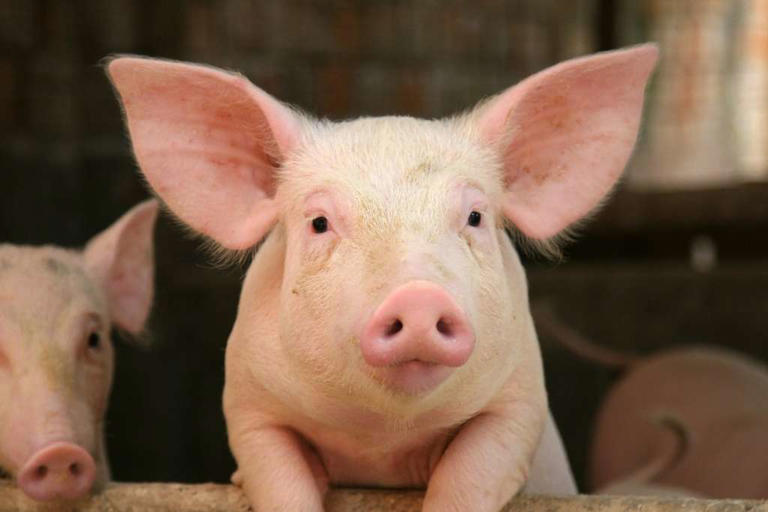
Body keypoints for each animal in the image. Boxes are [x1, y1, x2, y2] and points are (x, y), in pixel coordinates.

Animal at [106, 44, 658, 511]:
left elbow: (470, 475)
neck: (382, 440)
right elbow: (279, 480)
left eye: (475, 216)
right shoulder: (249, 406)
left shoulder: (520, 401)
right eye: (319, 222)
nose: (418, 297)